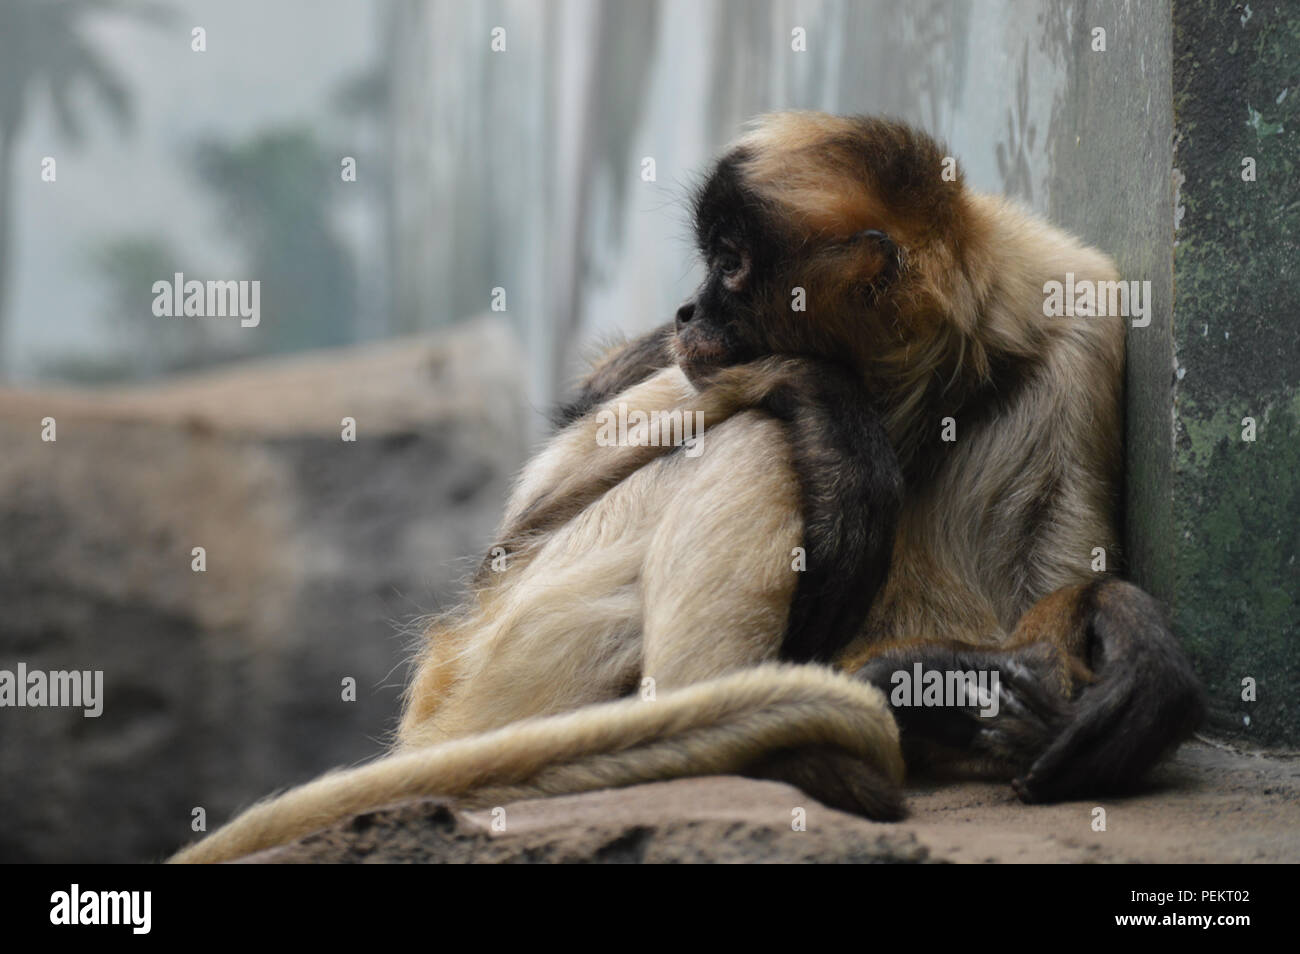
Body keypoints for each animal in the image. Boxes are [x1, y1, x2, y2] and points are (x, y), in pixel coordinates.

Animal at [170, 112, 1203, 863]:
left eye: (732, 265)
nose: (686, 307)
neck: (911, 393)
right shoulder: (703, 367)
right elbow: (527, 520)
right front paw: (831, 415)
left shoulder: (1071, 310)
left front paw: (1123, 647)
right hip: (489, 668)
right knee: (756, 438)